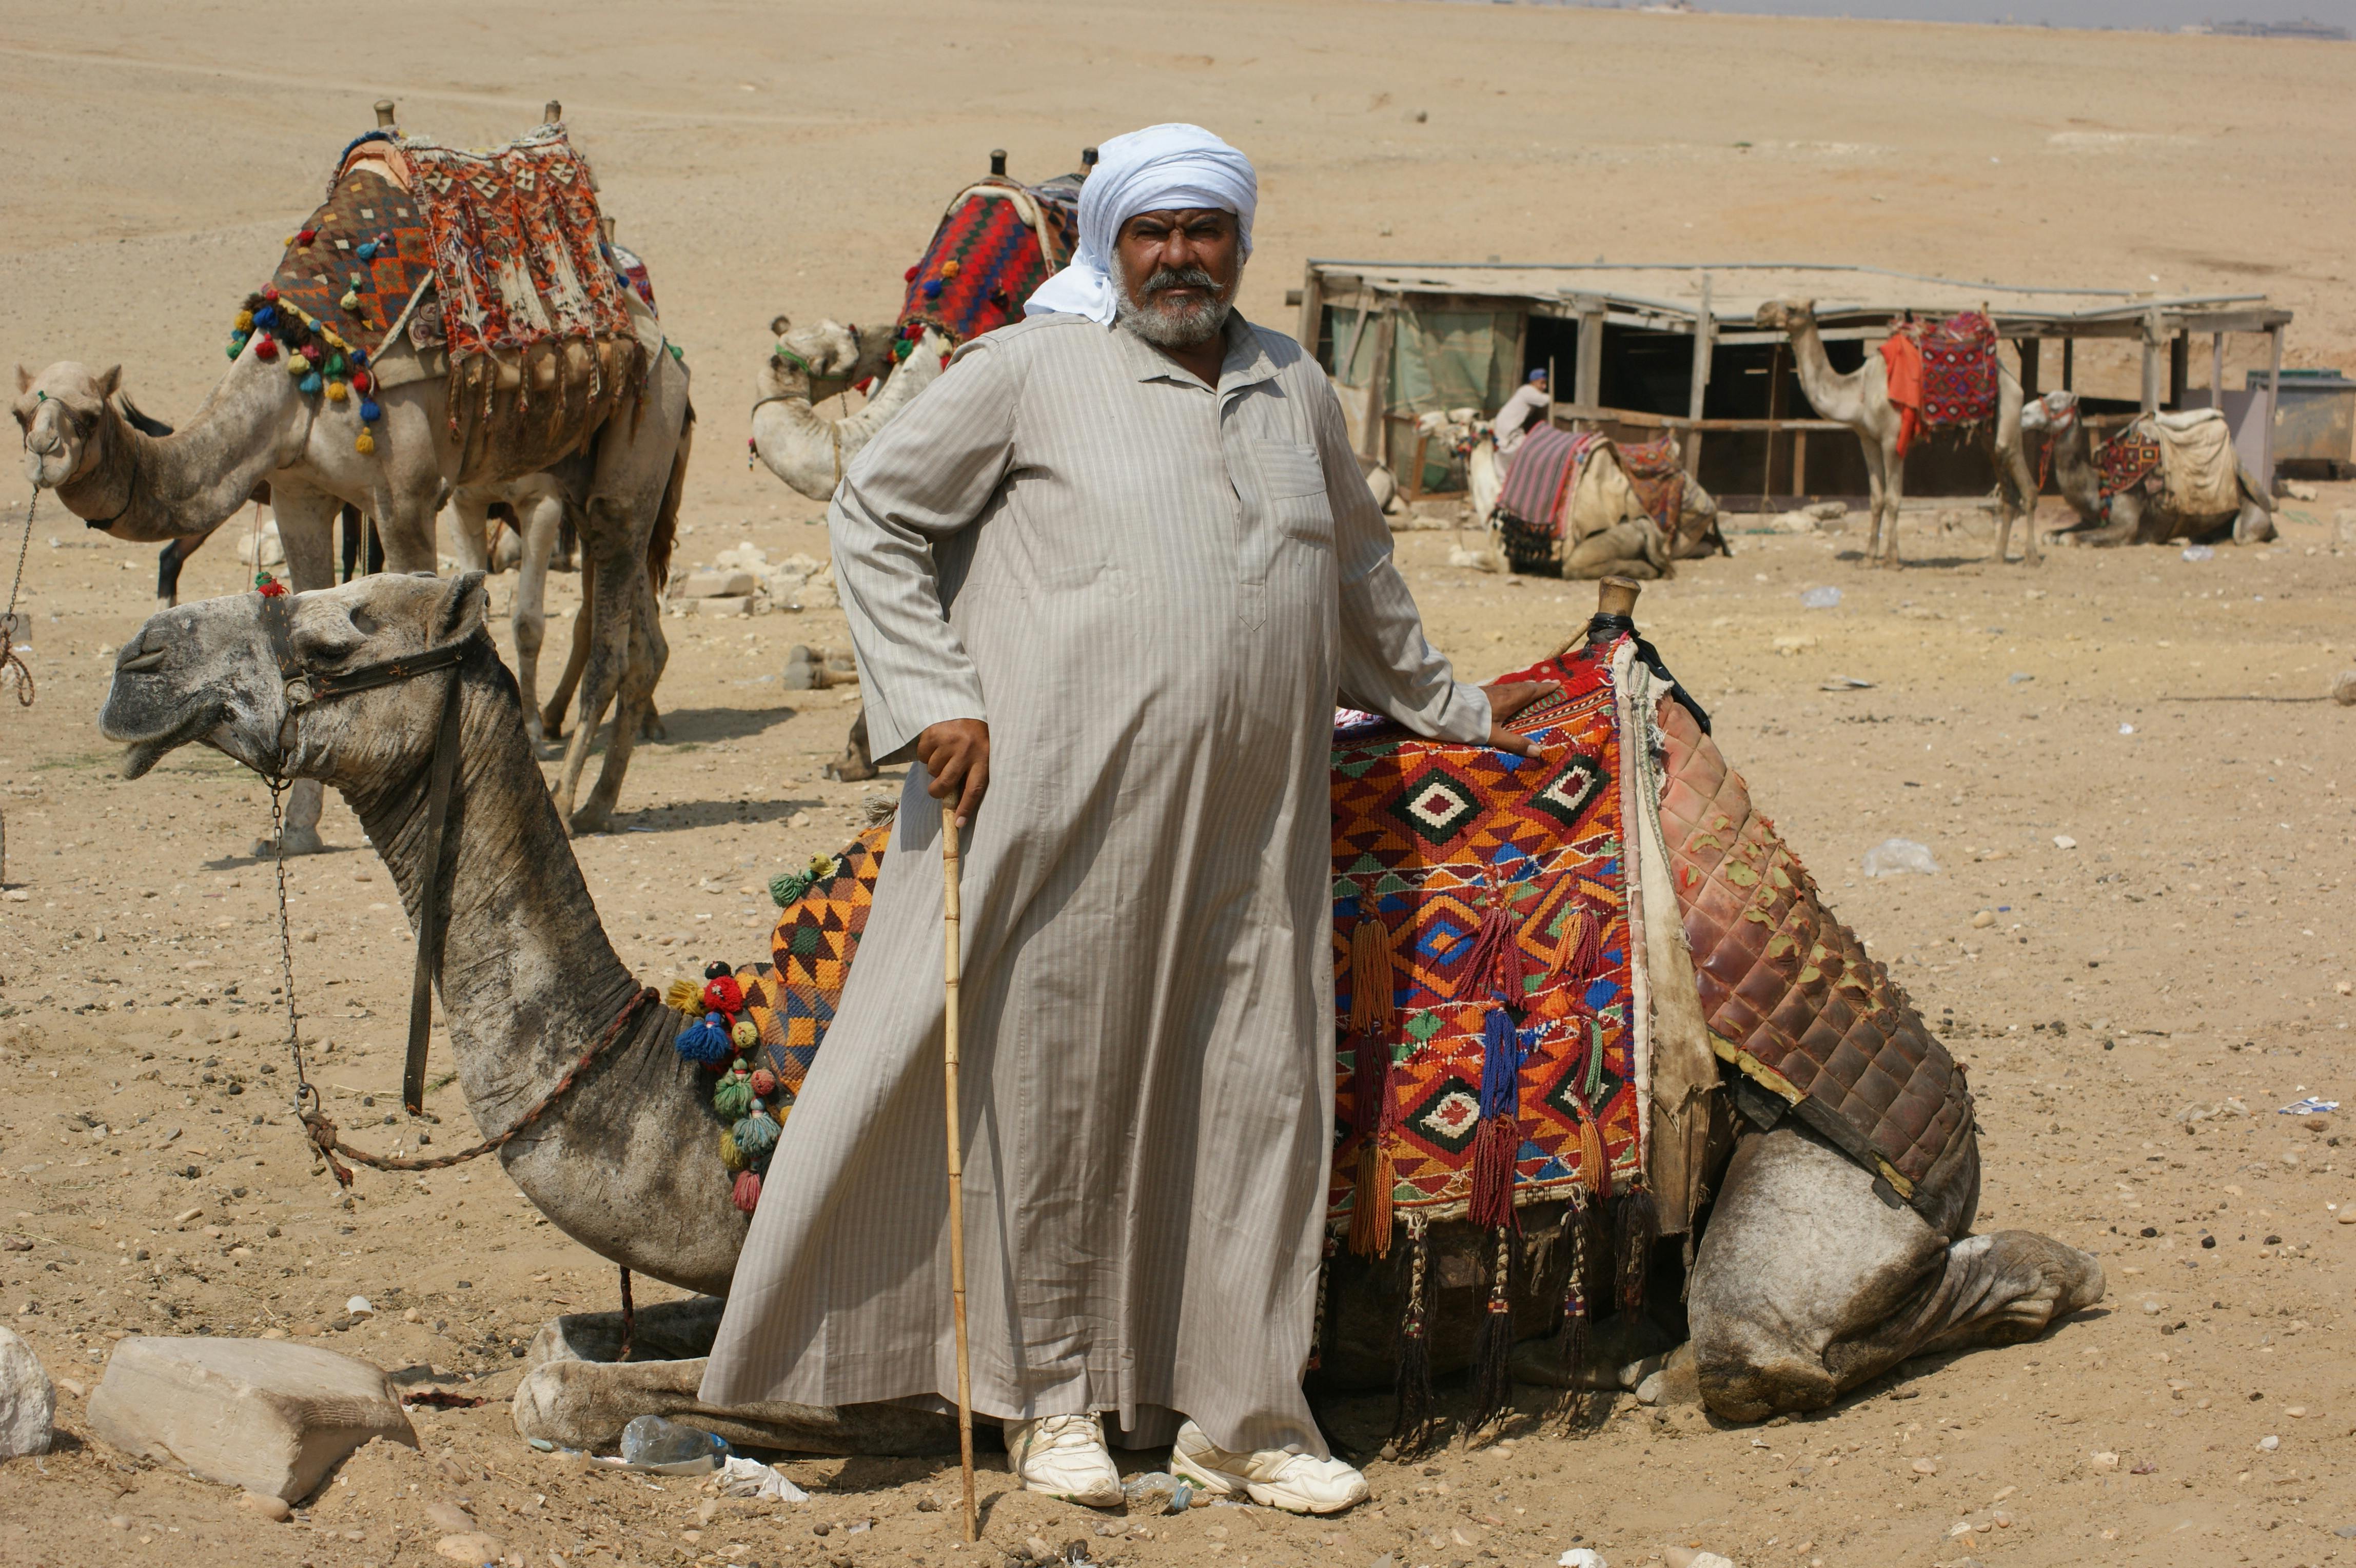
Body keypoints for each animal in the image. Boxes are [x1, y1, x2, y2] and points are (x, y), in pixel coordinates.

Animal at [14, 329, 688, 846]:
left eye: (89, 416)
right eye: (20, 413)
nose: (43, 453)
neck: (287, 390)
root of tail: (667, 352)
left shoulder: (407, 492)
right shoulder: (300, 493)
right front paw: (298, 826)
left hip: (634, 448)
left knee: (610, 634)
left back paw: (571, 799)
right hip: (579, 479)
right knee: (643, 642)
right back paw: (602, 798)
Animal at [100, 570, 2103, 1459]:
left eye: (338, 629)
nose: (138, 657)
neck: (730, 1069)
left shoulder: (901, 1337)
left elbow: (575, 1391)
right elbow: (559, 1344)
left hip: (1802, 1203)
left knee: (1789, 1335)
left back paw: (2019, 1274)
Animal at [1755, 300, 2039, 568]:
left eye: (1792, 307)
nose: (1761, 312)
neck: (1859, 391)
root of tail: (2011, 378)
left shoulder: (1893, 440)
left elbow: (1893, 499)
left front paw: (1892, 560)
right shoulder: (1868, 439)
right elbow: (1876, 499)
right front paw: (1868, 559)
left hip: (2009, 412)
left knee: (2027, 486)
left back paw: (2031, 558)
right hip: (1988, 434)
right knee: (2008, 491)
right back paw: (1997, 558)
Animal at [2019, 390, 2275, 548]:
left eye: (2054, 406)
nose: (2023, 413)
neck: (2099, 482)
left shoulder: (2126, 526)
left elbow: (2068, 539)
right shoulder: (2090, 520)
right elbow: (2050, 536)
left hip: (2252, 515)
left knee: (2242, 535)